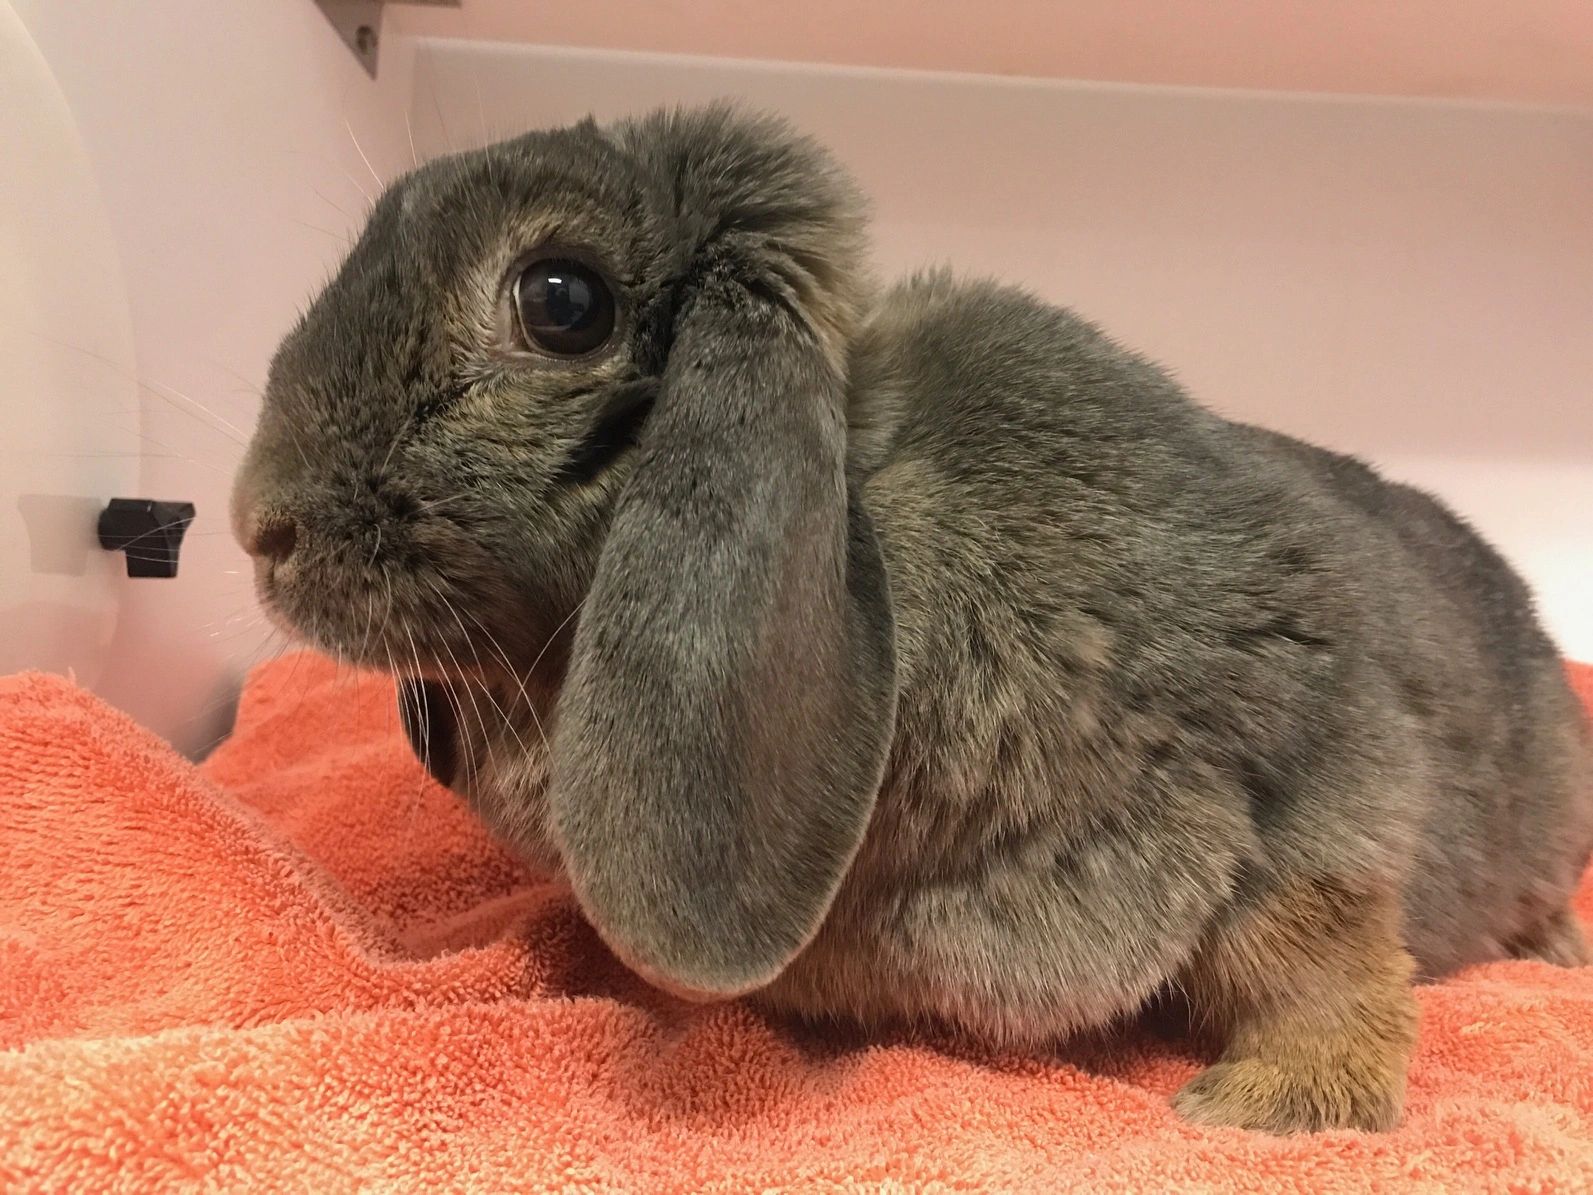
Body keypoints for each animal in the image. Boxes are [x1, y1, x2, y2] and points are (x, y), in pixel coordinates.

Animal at [232, 104, 1593, 1134]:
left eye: (560, 299)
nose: (257, 526)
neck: (869, 502)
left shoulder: (1312, 762)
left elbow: (1319, 956)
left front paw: (1265, 1110)